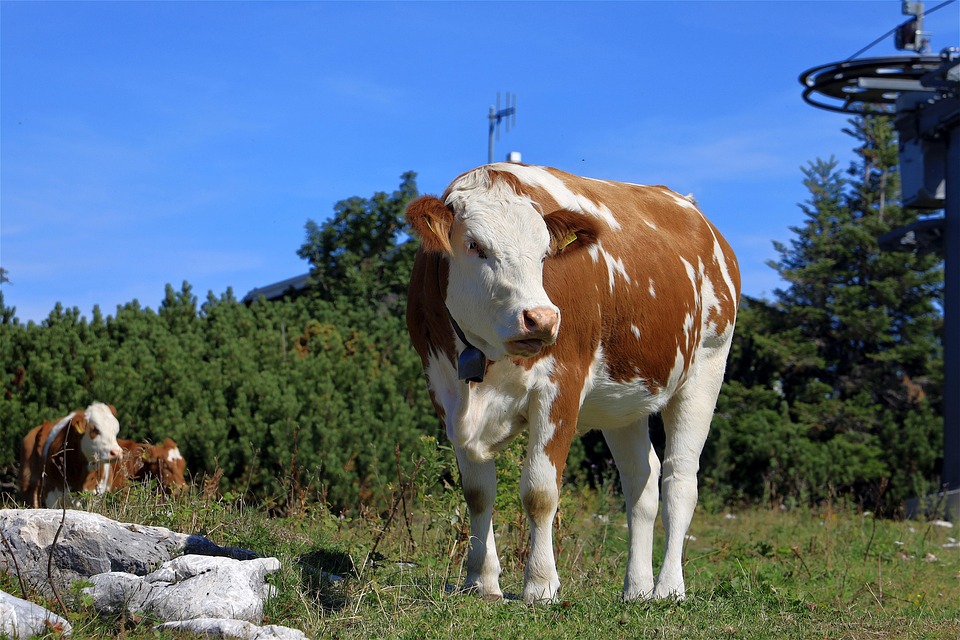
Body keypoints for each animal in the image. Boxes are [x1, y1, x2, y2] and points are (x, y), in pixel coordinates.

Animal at [405, 163, 740, 603]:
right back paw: (636, 589)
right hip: (623, 398)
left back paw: (669, 588)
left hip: (706, 370)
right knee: (641, 482)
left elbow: (540, 491)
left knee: (679, 481)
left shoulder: (560, 386)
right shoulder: (446, 392)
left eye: (544, 252)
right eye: (475, 245)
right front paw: (481, 580)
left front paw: (540, 584)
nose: (541, 319)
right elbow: (477, 493)